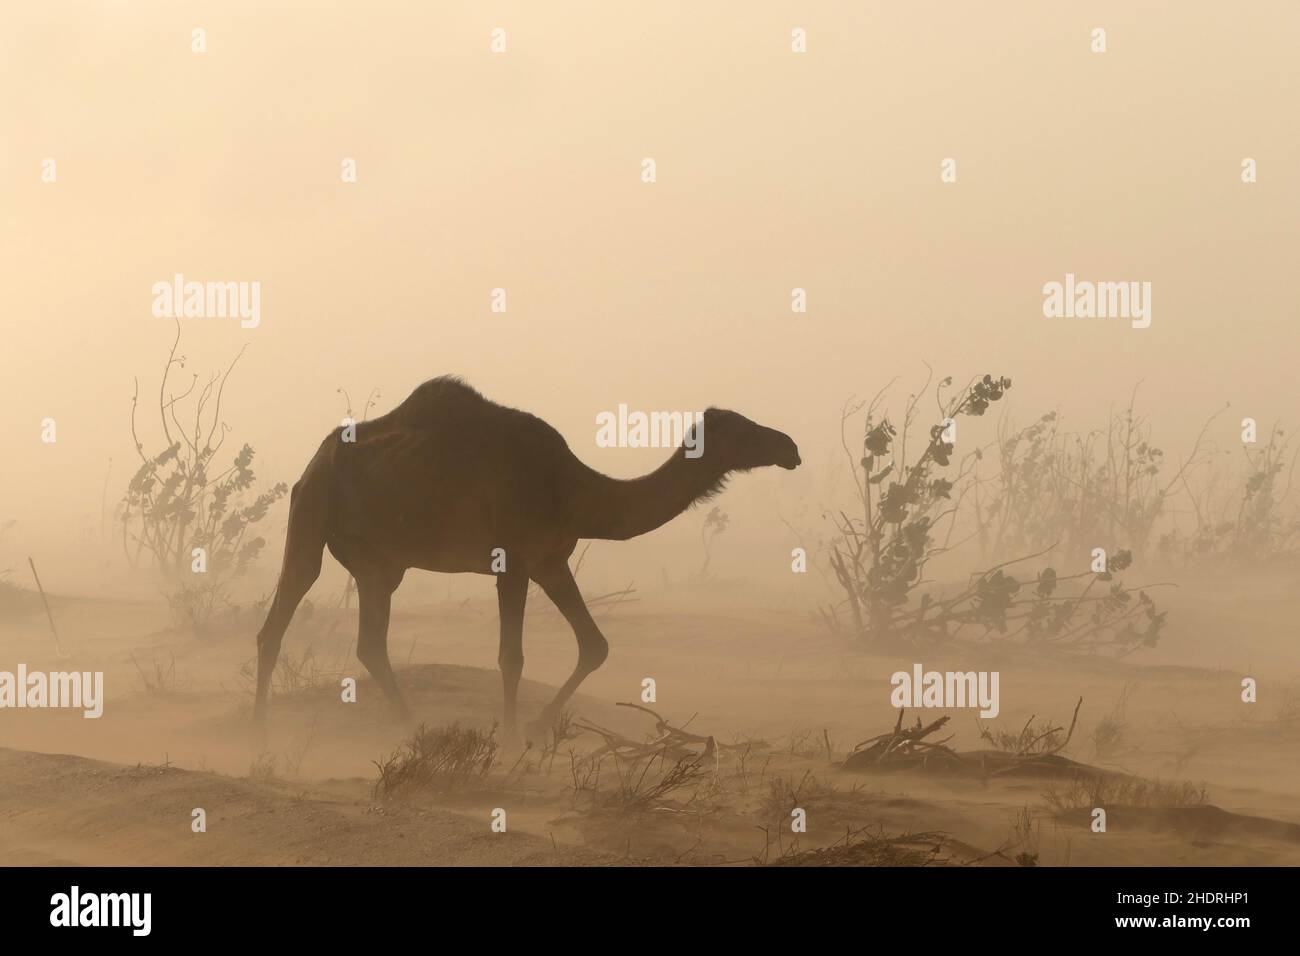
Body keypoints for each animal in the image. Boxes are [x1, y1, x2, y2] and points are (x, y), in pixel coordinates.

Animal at [253, 377, 800, 744]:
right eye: (742, 430)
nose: (789, 445)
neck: (575, 488)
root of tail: (313, 462)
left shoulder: (551, 562)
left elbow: (595, 645)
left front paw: (536, 725)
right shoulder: (512, 560)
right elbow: (511, 656)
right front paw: (514, 737)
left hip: (381, 562)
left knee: (369, 641)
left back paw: (409, 725)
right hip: (311, 513)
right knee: (281, 616)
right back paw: (260, 732)